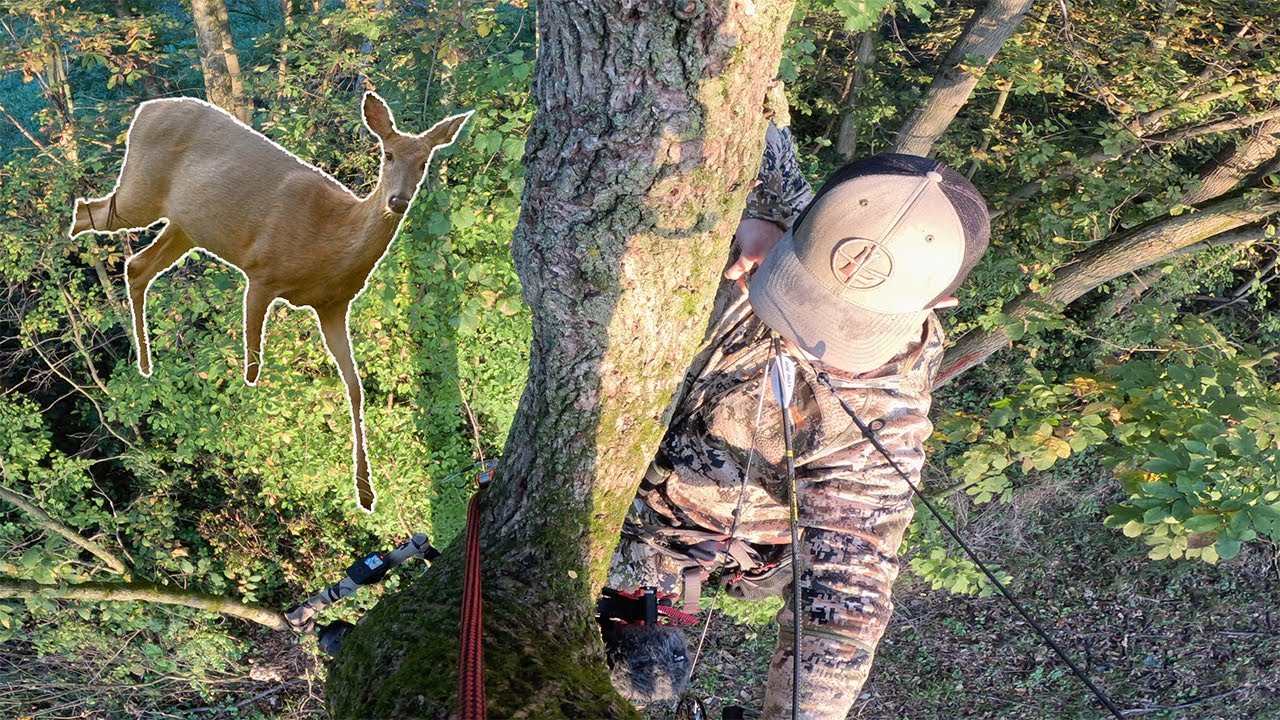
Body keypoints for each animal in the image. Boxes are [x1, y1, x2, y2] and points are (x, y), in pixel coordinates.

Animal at [69, 92, 472, 512]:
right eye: (388, 154)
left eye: (424, 162)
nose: (398, 201)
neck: (329, 240)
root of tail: (146, 110)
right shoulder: (262, 272)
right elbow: (253, 363)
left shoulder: (333, 306)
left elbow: (356, 388)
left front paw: (365, 492)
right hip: (140, 193)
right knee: (85, 212)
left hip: (185, 228)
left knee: (136, 266)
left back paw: (146, 365)